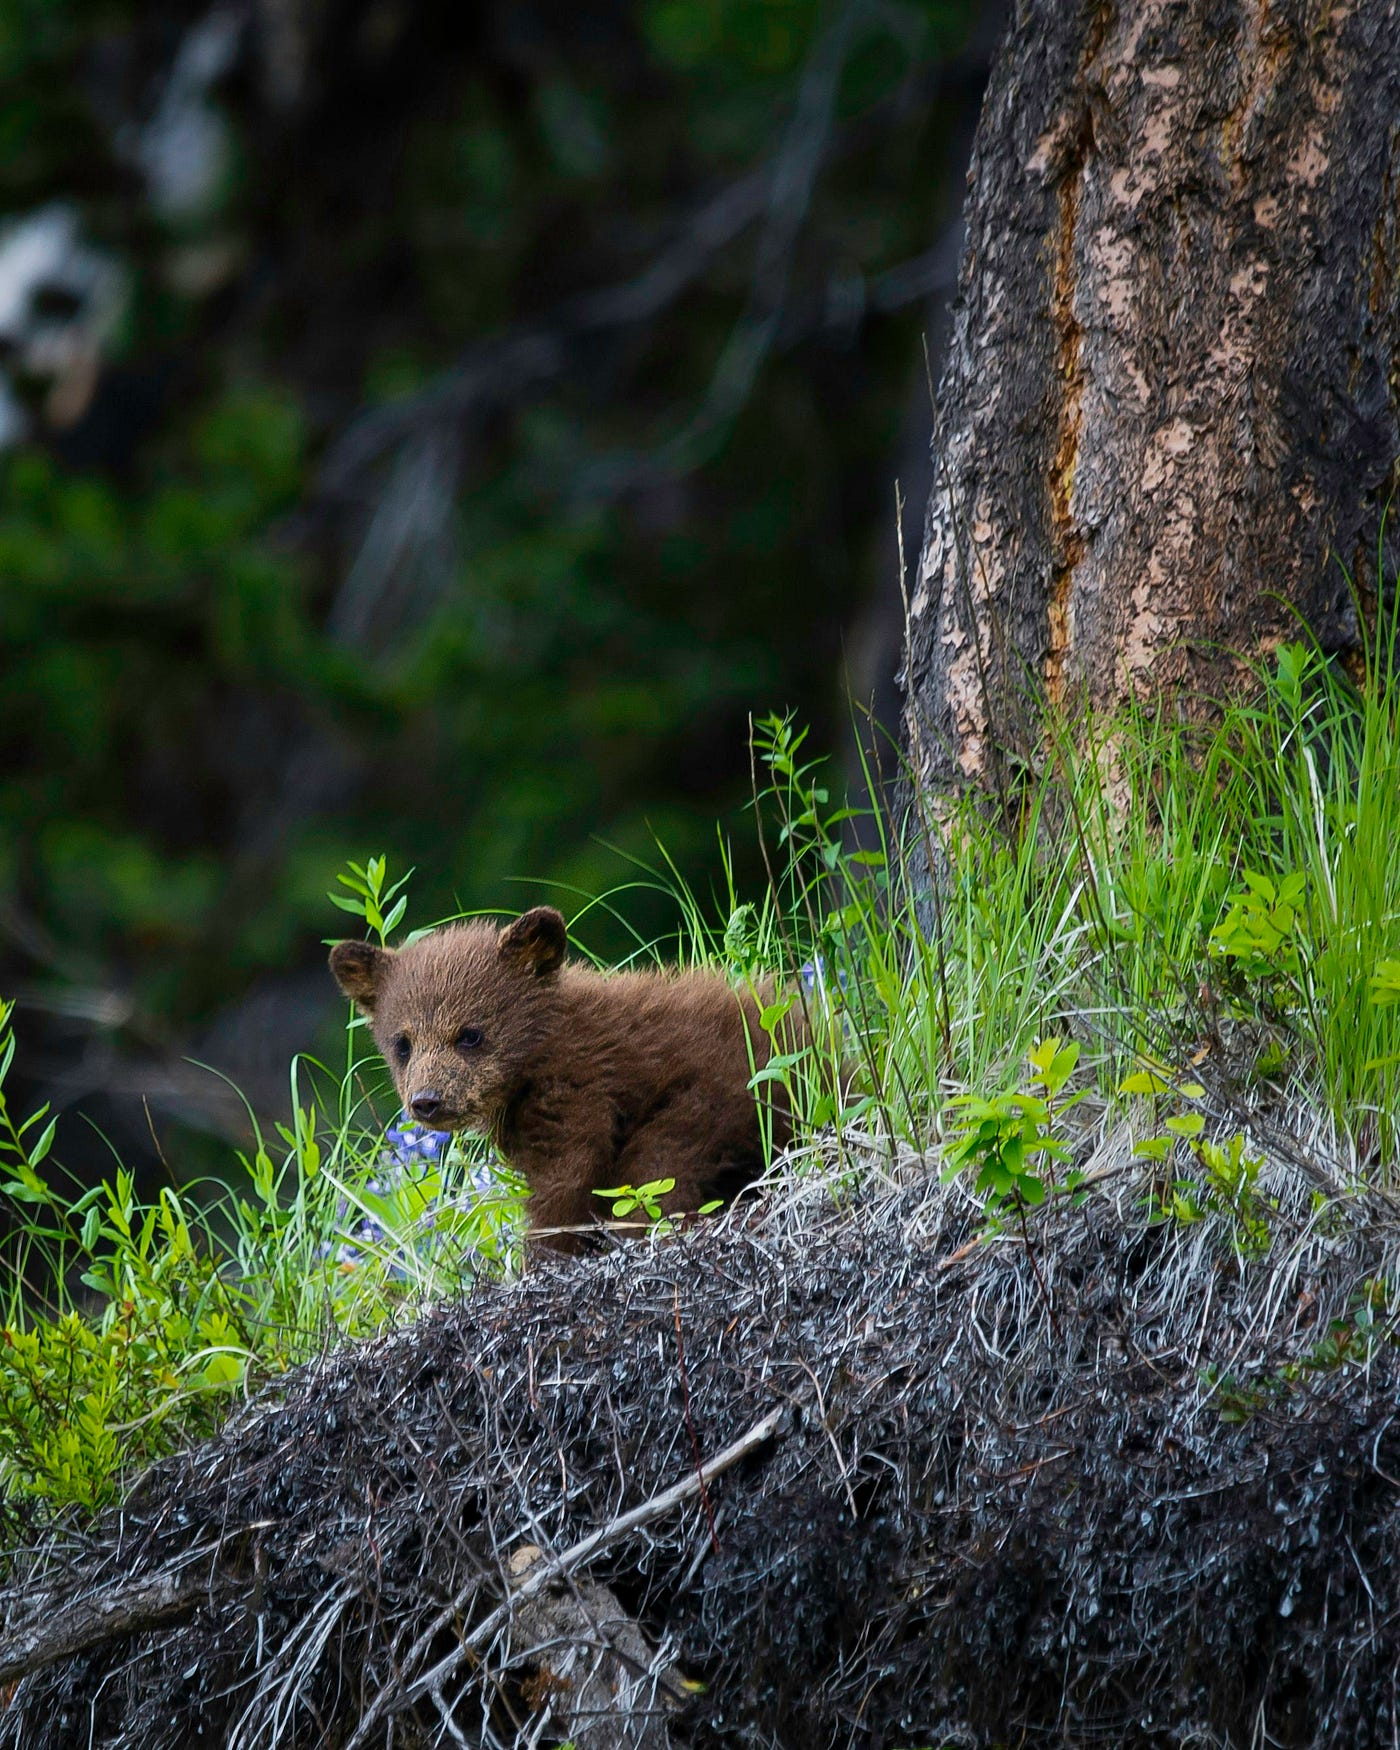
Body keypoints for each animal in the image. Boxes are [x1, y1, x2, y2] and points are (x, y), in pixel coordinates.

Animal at [329, 907, 796, 1250]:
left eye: (470, 1034)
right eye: (402, 1043)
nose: (427, 1100)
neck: (540, 1051)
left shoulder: (576, 1088)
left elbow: (567, 1180)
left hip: (717, 1099)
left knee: (658, 1170)